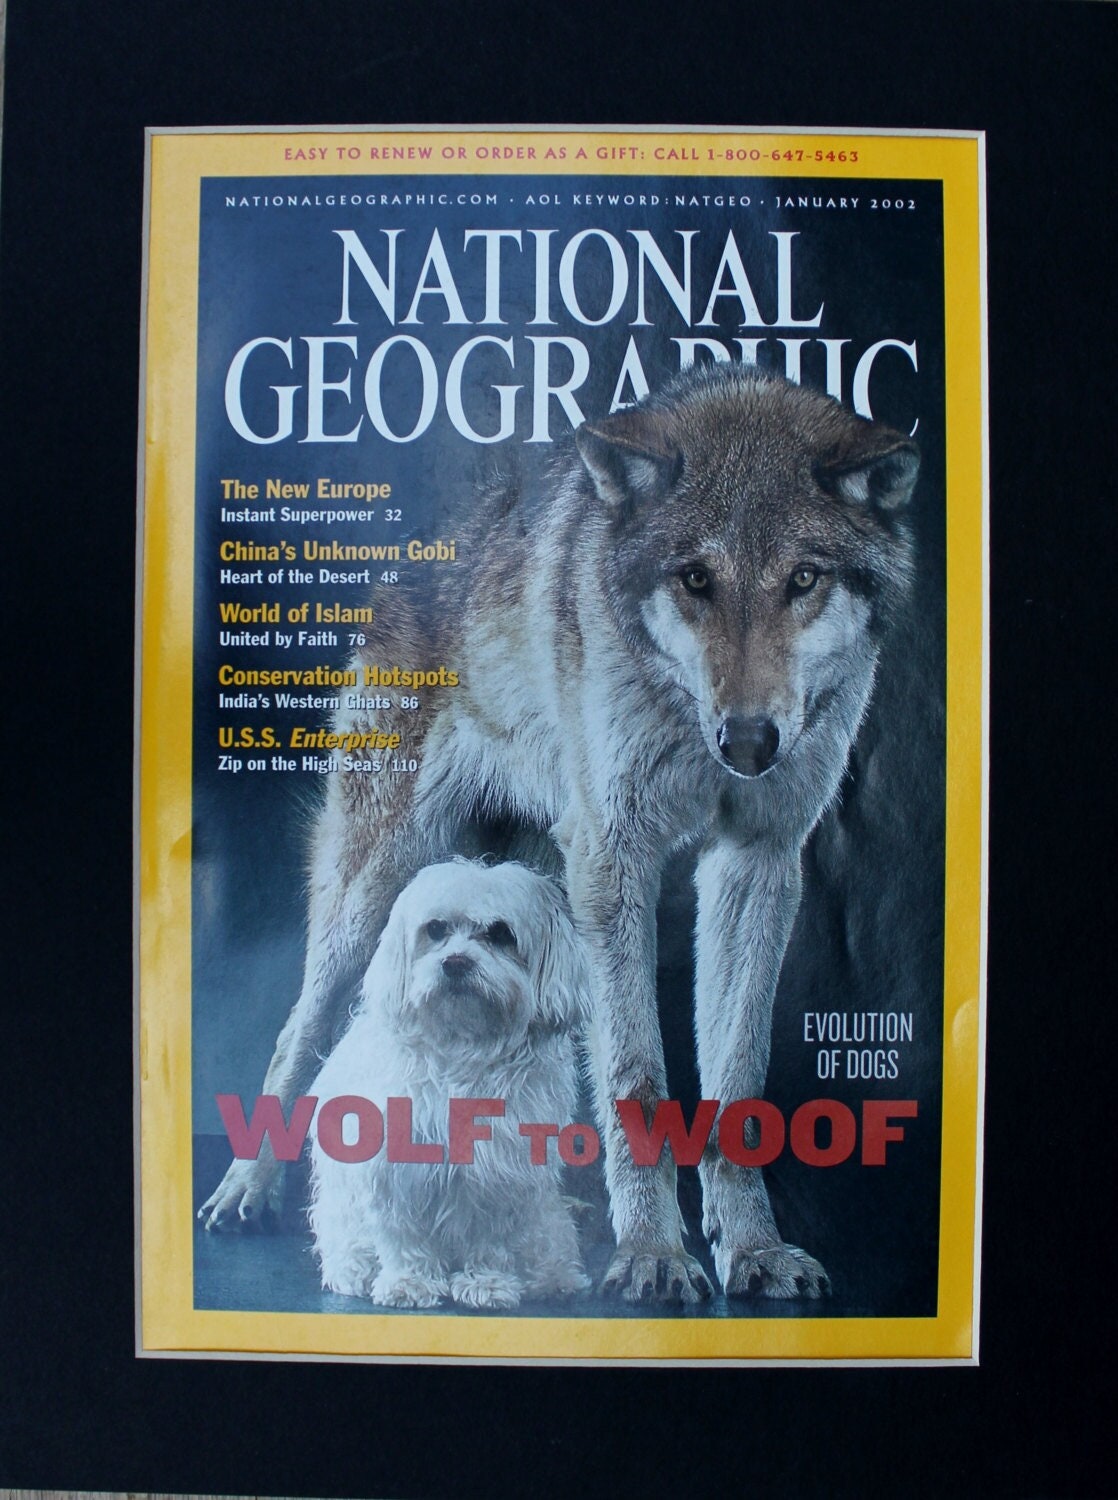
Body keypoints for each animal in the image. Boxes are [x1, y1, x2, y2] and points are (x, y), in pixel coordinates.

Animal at [200, 363, 919, 1303]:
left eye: (804, 579)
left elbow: (735, 1082)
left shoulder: (757, 863)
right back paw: (246, 1189)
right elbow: (638, 1080)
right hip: (379, 884)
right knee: (301, 1031)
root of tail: (416, 558)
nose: (749, 743)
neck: (685, 715)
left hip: (543, 884)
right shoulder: (618, 859)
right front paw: (653, 1255)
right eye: (694, 578)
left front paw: (752, 1250)